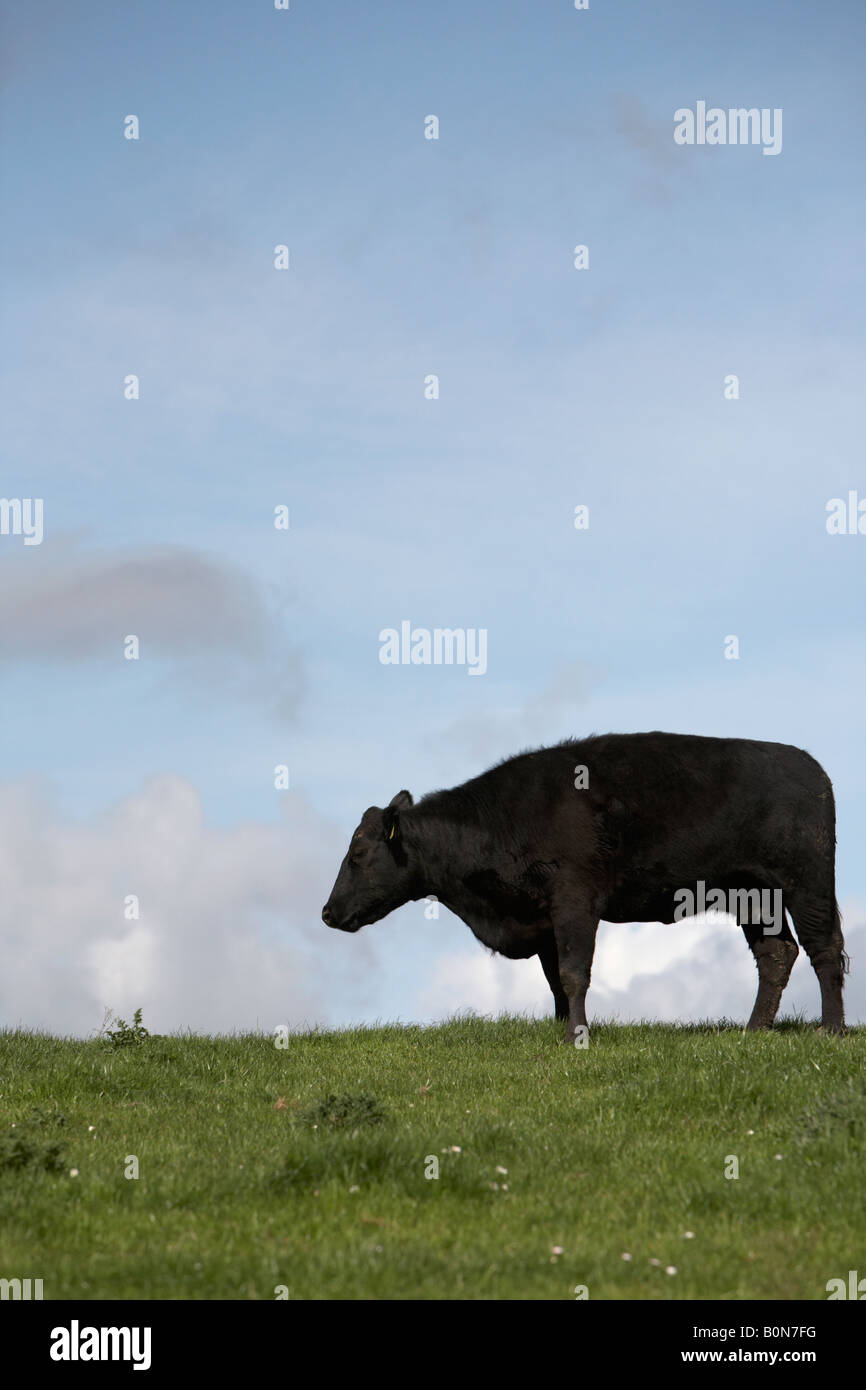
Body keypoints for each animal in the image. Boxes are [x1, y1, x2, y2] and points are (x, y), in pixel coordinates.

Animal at [322, 732, 847, 1039]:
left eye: (358, 854)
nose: (327, 913)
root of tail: (810, 766)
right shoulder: (543, 921)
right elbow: (555, 980)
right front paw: (561, 1032)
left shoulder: (574, 902)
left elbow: (575, 974)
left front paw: (579, 1036)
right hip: (752, 897)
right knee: (776, 953)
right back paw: (754, 1031)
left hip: (807, 884)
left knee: (824, 948)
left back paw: (832, 1030)